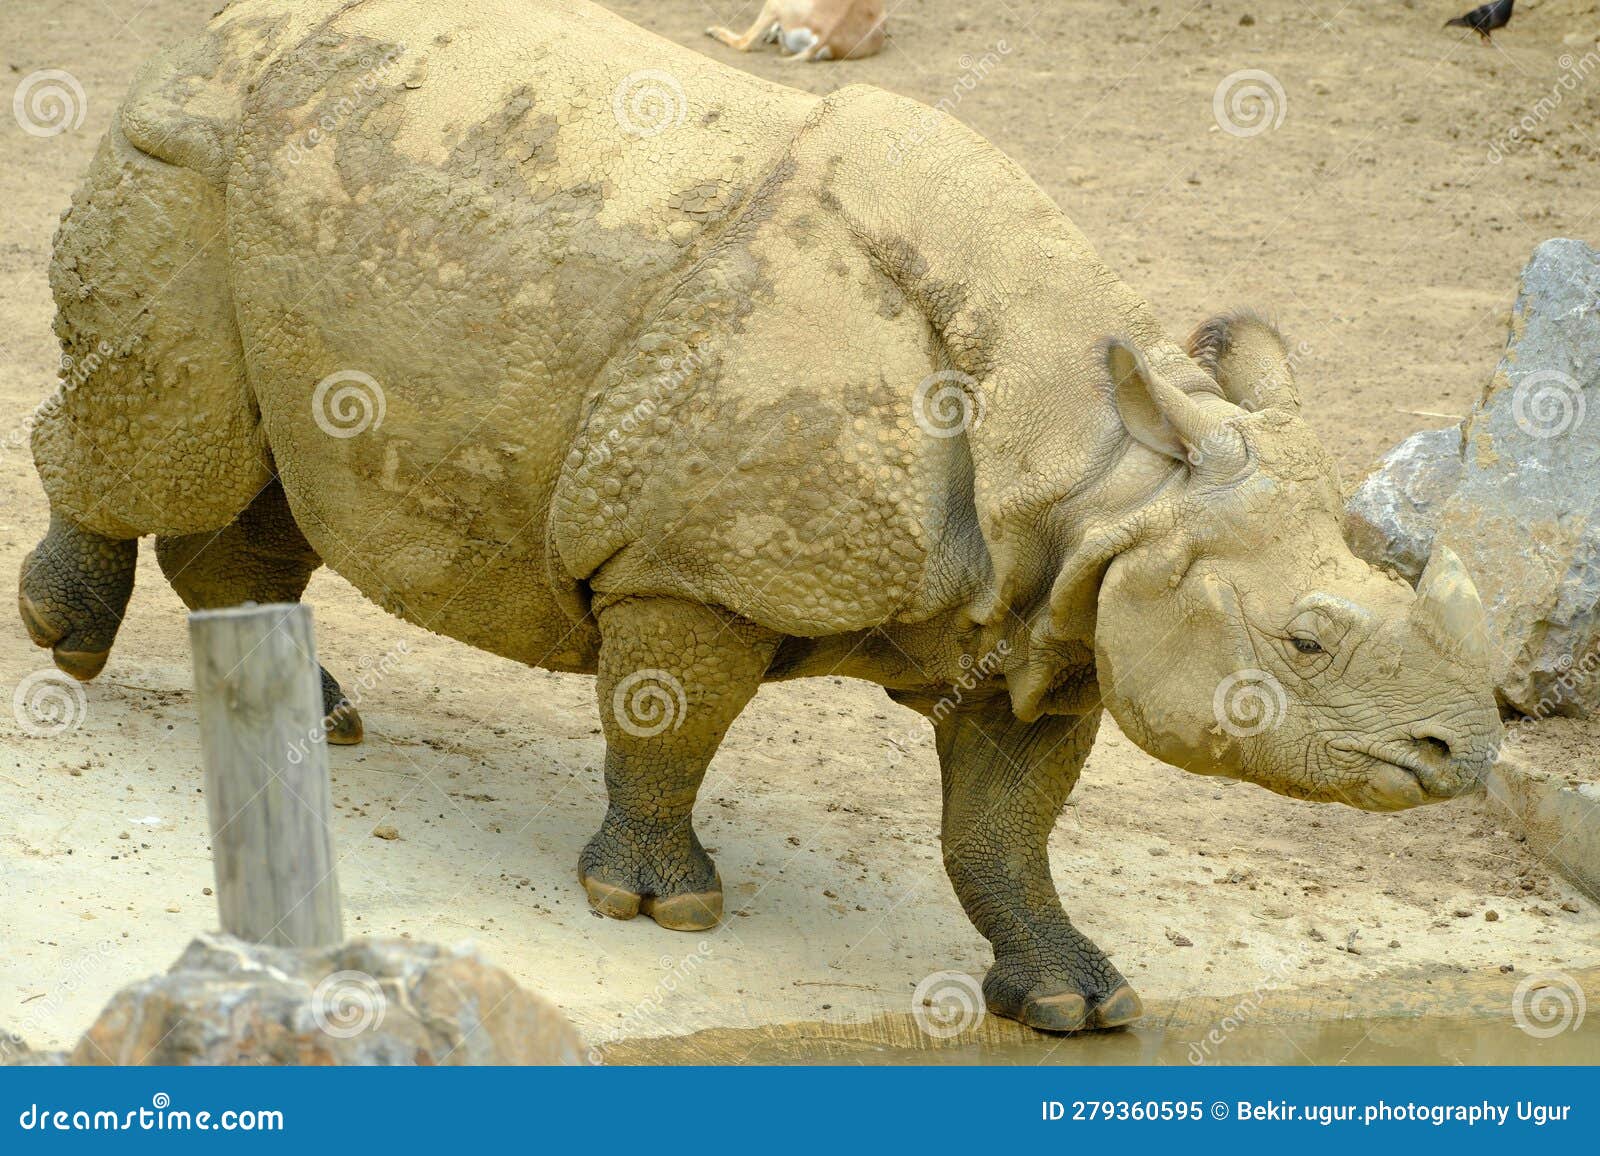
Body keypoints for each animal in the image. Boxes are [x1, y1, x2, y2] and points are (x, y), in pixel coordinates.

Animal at [19, 0, 1500, 1032]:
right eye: (1304, 641)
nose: (1467, 751)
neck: (1100, 471)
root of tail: (207, 31)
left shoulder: (1055, 620)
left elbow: (1004, 828)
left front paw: (1076, 1001)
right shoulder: (692, 571)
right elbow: (665, 728)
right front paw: (656, 907)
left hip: (300, 172)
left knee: (261, 474)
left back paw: (308, 718)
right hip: (189, 158)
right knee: (170, 445)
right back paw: (68, 641)